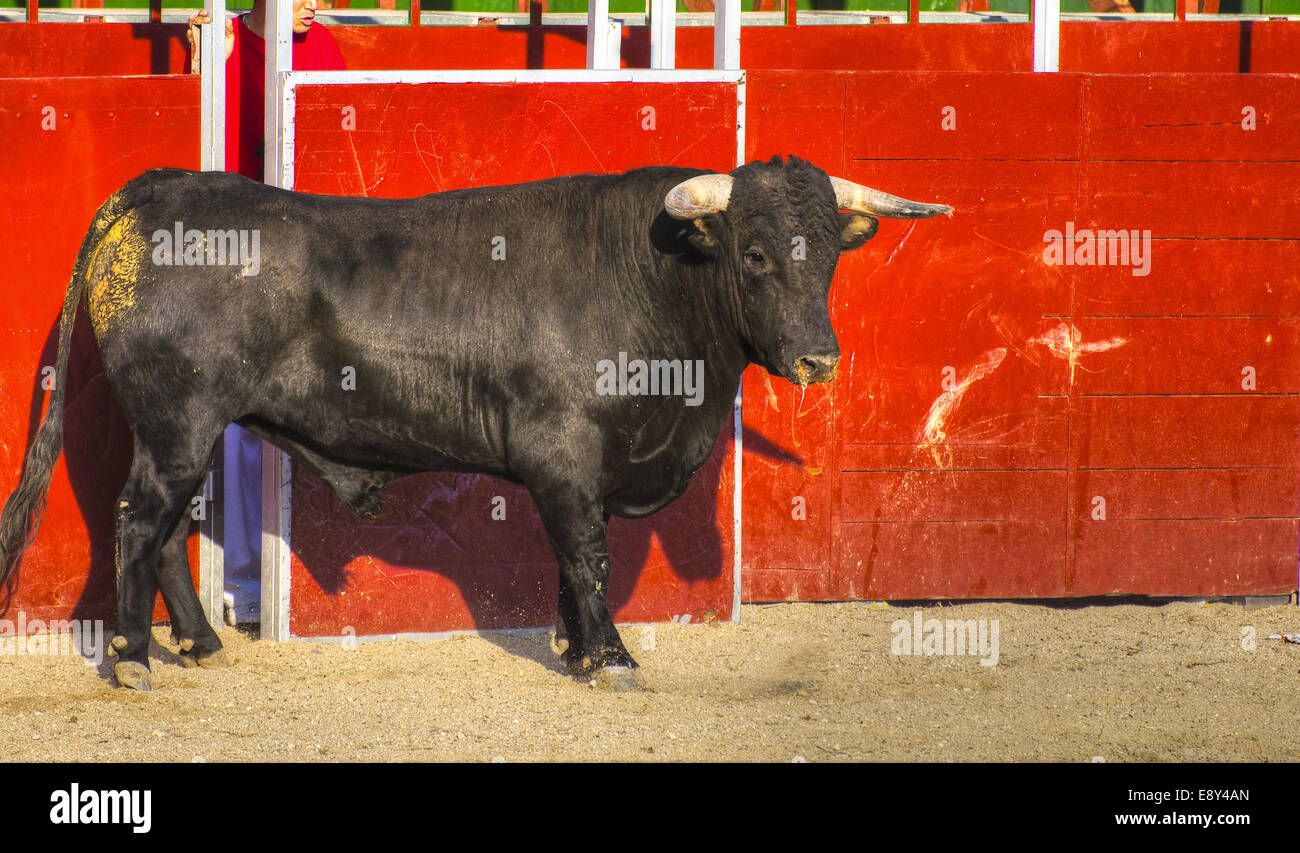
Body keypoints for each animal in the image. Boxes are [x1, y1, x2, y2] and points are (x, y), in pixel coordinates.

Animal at [0, 155, 950, 691]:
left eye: (828, 261)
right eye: (753, 255)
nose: (820, 361)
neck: (653, 283)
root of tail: (159, 191)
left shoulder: (584, 471)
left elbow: (575, 557)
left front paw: (576, 647)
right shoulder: (562, 455)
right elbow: (588, 553)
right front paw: (612, 658)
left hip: (185, 432)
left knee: (165, 529)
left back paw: (196, 644)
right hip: (179, 423)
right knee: (137, 520)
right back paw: (131, 656)